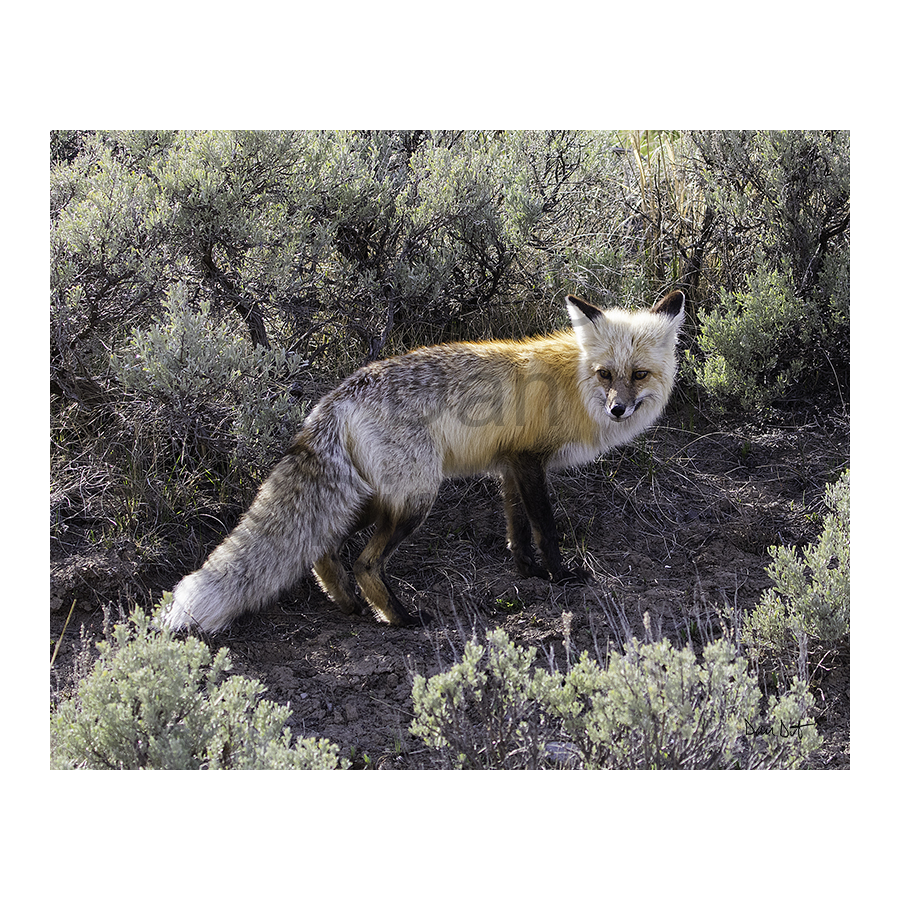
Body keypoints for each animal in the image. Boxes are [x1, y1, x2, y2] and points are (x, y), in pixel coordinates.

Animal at [162, 290, 685, 633]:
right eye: (606, 375)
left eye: (639, 375)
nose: (618, 409)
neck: (573, 382)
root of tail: (338, 396)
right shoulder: (529, 461)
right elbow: (545, 528)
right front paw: (558, 576)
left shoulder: (509, 465)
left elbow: (517, 530)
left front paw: (527, 573)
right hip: (414, 498)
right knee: (365, 563)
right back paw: (399, 617)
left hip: (371, 499)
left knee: (322, 550)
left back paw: (349, 606)